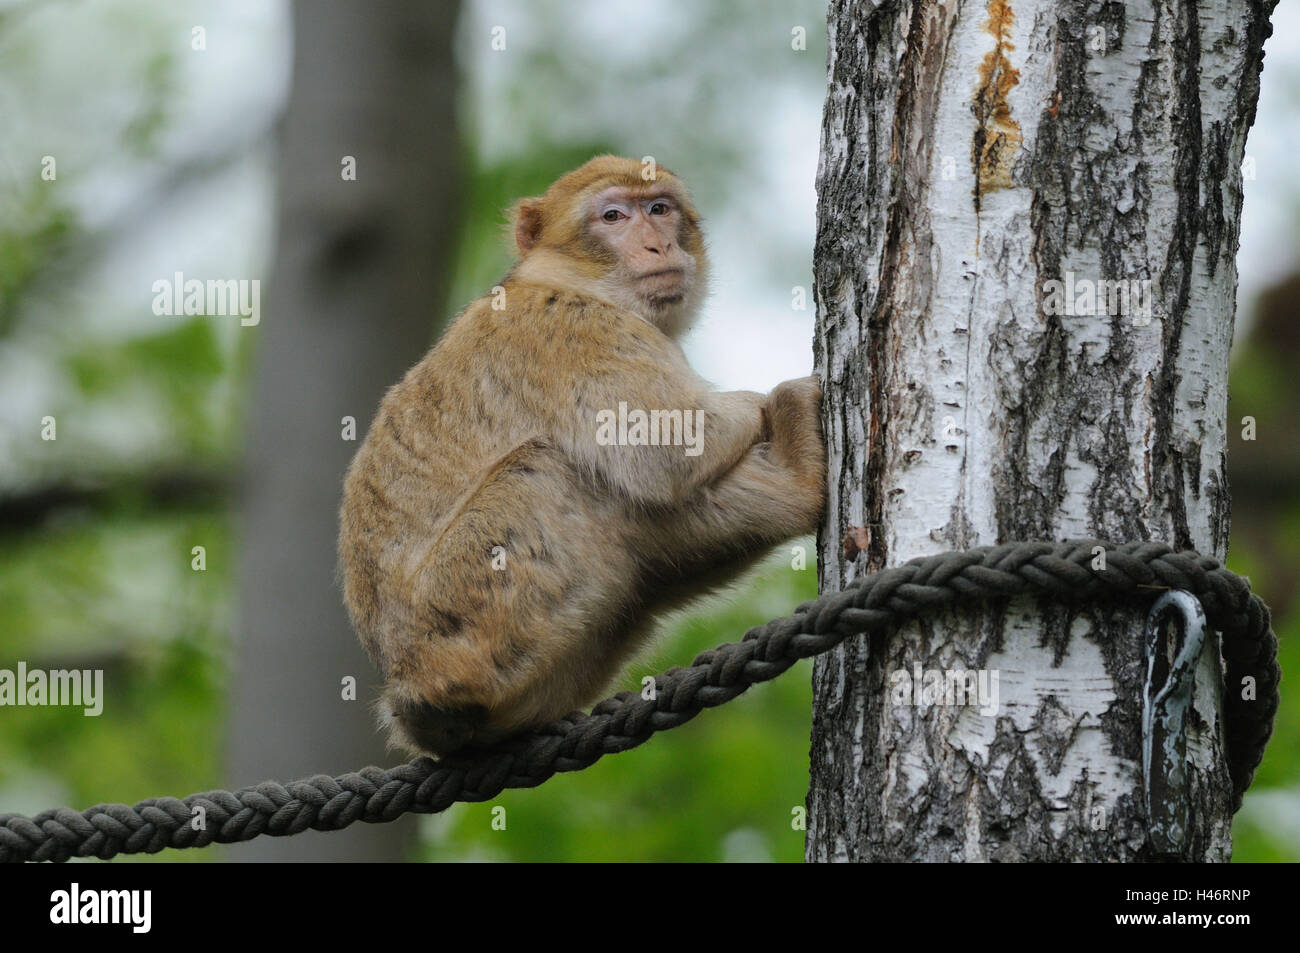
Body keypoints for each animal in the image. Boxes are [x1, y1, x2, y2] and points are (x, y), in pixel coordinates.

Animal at [337, 155, 826, 757]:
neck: (570, 282)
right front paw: (756, 403)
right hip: (459, 614)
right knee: (552, 470)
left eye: (659, 209)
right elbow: (664, 449)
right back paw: (798, 483)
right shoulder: (573, 327)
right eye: (613, 216)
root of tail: (406, 694)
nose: (658, 245)